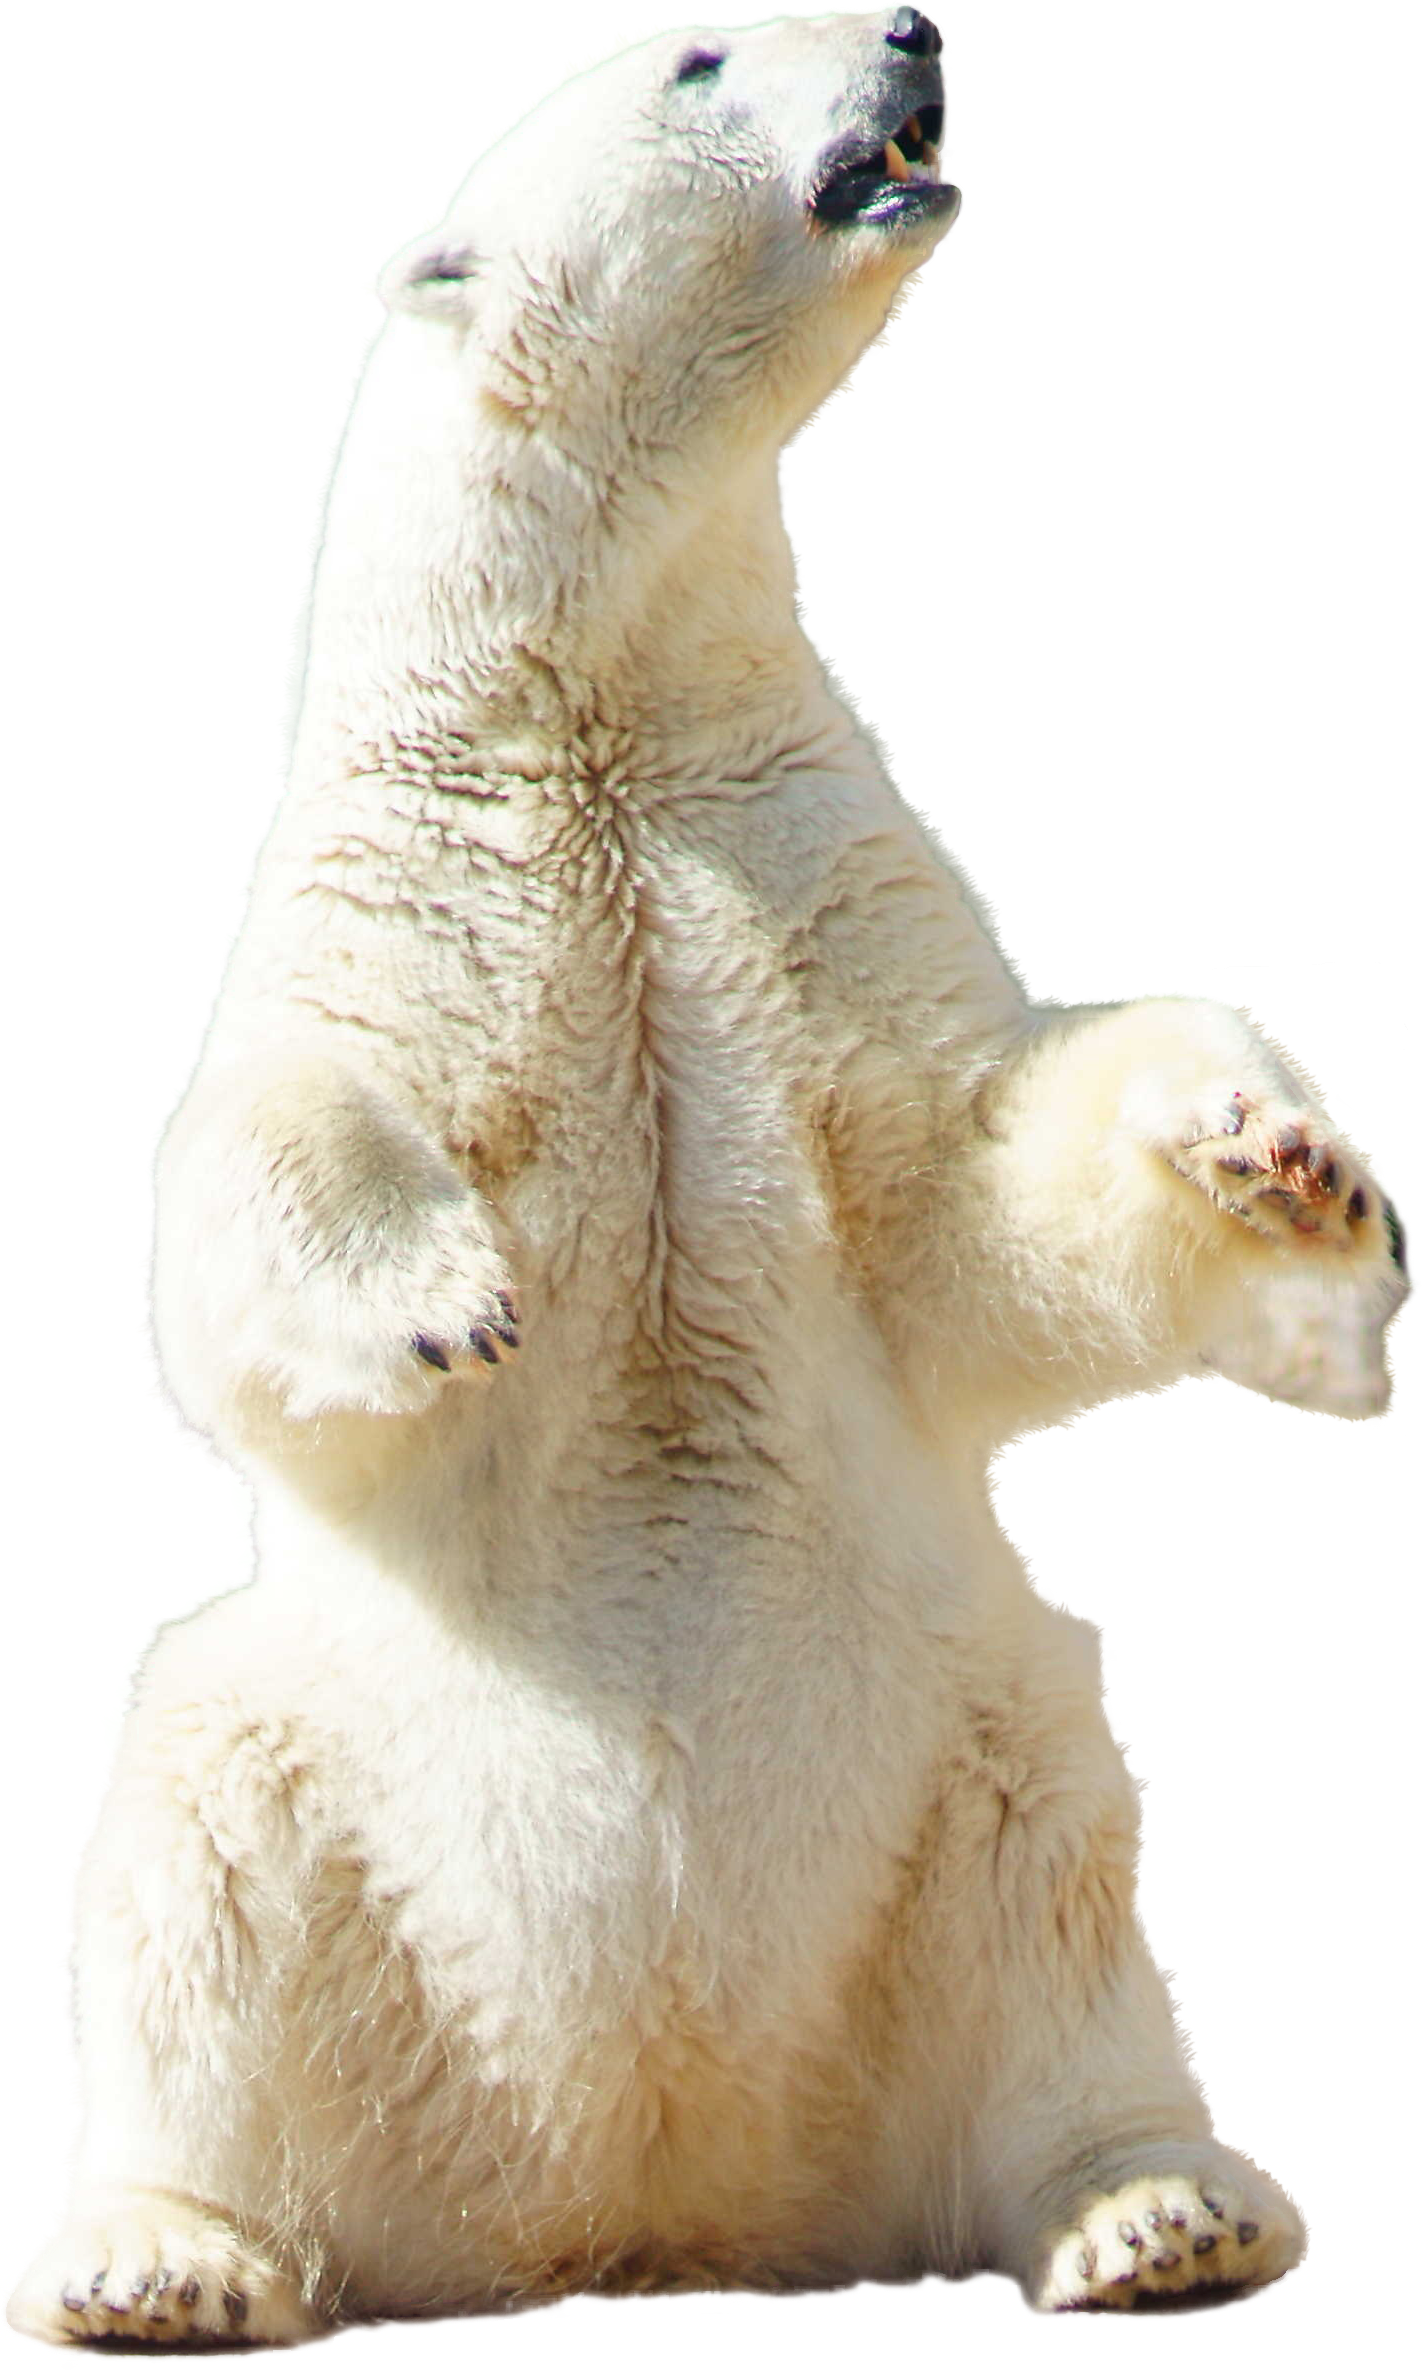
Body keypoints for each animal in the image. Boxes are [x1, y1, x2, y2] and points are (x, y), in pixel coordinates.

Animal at [4, 2, 1412, 2350]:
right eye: (695, 60)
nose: (919, 24)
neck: (590, 697)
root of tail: (654, 2198)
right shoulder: (417, 889)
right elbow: (259, 1171)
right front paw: (441, 1302)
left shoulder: (793, 852)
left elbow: (970, 1180)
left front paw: (1284, 1163)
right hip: (323, 1798)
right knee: (188, 1811)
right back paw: (160, 2260)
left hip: (959, 1766)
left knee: (1063, 1858)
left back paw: (1156, 2214)